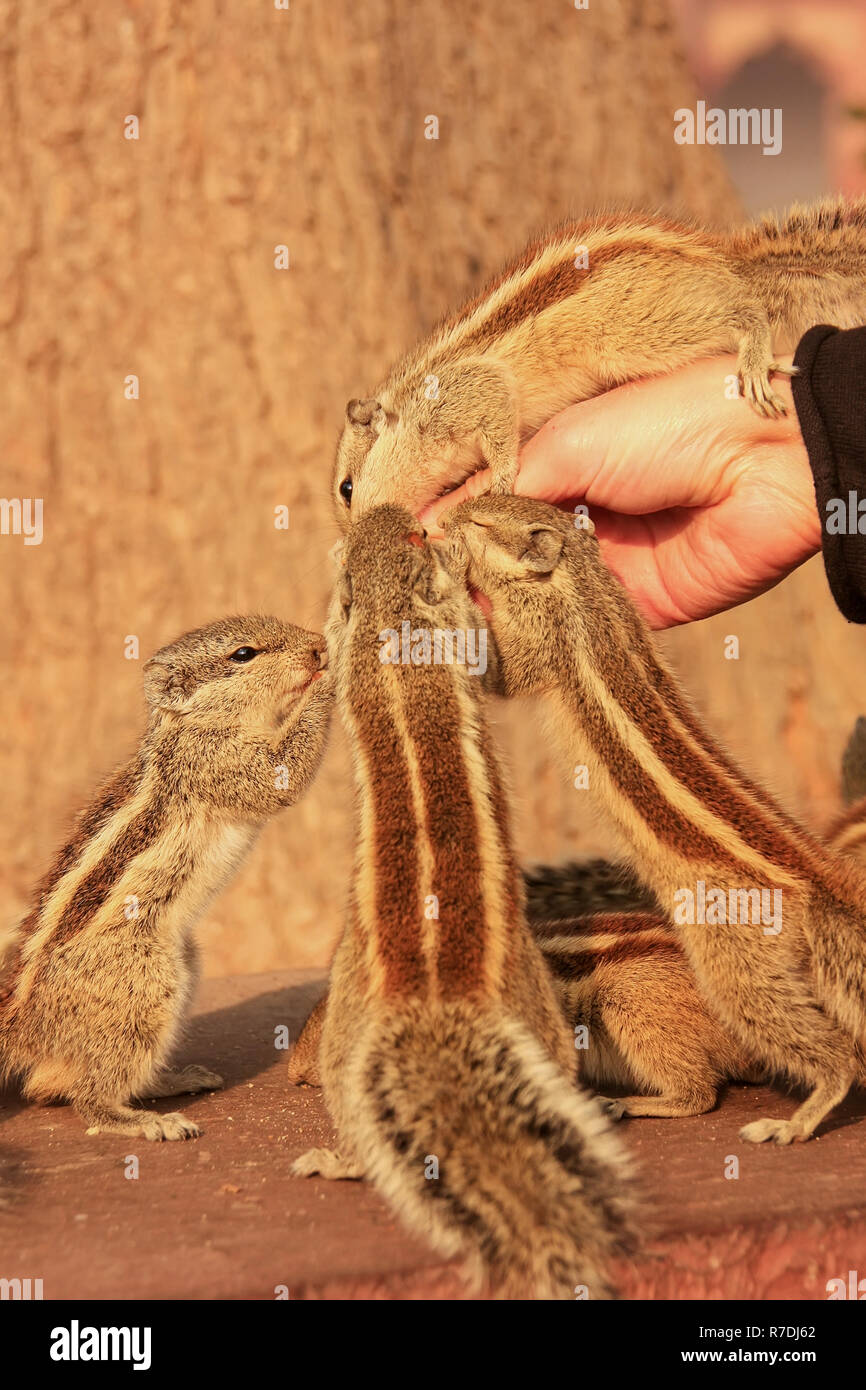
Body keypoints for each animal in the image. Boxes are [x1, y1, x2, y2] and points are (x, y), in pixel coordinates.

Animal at [0, 616, 333, 1141]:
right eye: (244, 654)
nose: (316, 646)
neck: (189, 725)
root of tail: (22, 1023)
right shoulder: (220, 763)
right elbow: (283, 774)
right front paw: (327, 678)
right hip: (146, 983)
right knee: (87, 1098)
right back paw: (147, 1123)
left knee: (52, 1085)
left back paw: (175, 1080)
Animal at [333, 197, 866, 525]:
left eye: (346, 488)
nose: (352, 538)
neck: (406, 415)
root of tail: (723, 261)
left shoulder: (464, 391)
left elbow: (497, 408)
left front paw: (501, 477)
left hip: (639, 331)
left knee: (745, 310)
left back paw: (754, 354)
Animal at [443, 494, 866, 1145]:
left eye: (484, 519)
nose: (448, 518)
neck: (580, 580)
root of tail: (815, 877)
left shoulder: (535, 640)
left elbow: (497, 676)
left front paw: (456, 568)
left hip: (734, 965)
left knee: (828, 1055)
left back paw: (791, 1120)